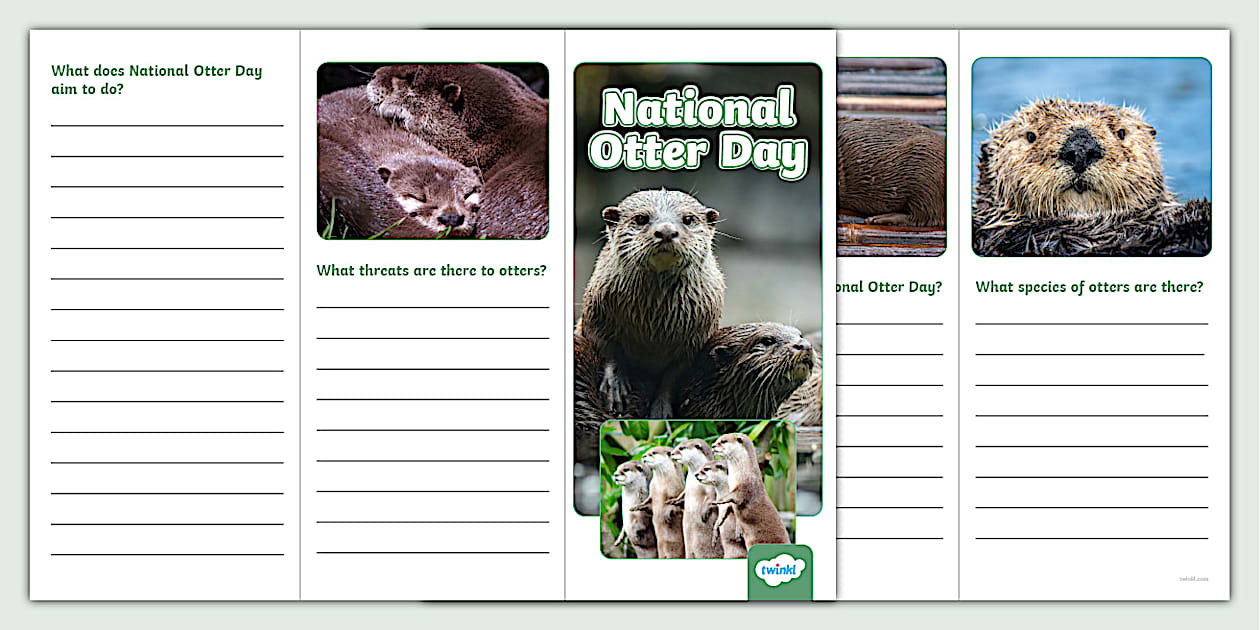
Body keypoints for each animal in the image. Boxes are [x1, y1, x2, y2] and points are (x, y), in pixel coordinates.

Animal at [578, 189, 725, 419]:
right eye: (641, 218)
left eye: (688, 219)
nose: (666, 231)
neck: (652, 331)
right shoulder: (596, 314)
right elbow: (607, 348)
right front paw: (615, 388)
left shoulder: (697, 338)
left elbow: (673, 375)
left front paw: (661, 409)